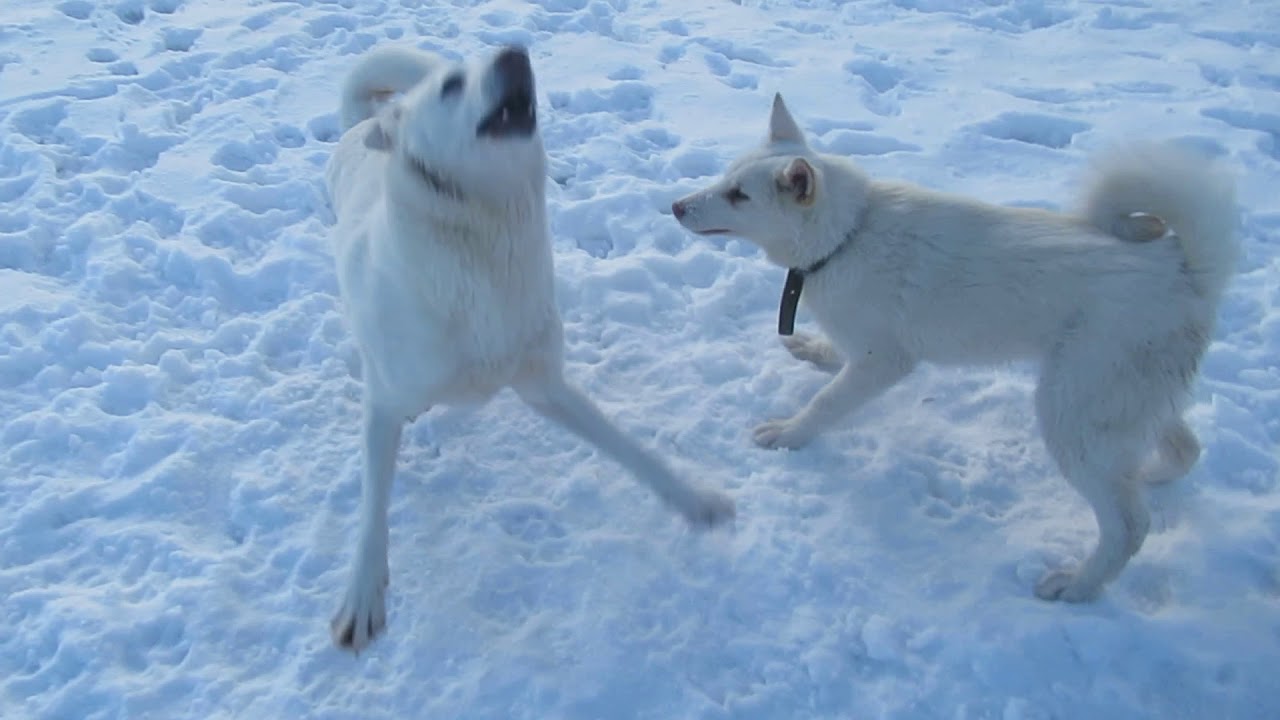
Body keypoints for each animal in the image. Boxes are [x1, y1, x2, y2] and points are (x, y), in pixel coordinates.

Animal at [325, 44, 737, 650]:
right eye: (451, 85)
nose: (514, 52)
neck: (482, 243)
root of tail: (365, 124)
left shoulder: (546, 385)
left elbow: (631, 450)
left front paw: (694, 500)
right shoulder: (383, 406)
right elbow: (372, 509)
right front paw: (362, 594)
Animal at [675, 94, 1233, 599]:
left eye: (739, 195)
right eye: (727, 178)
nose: (677, 206)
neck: (847, 238)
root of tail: (1185, 270)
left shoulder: (885, 362)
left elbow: (827, 402)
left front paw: (789, 434)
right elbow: (834, 361)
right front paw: (814, 352)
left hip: (1072, 412)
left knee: (1129, 525)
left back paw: (1077, 584)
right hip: (1123, 400)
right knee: (1183, 449)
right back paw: (1149, 475)